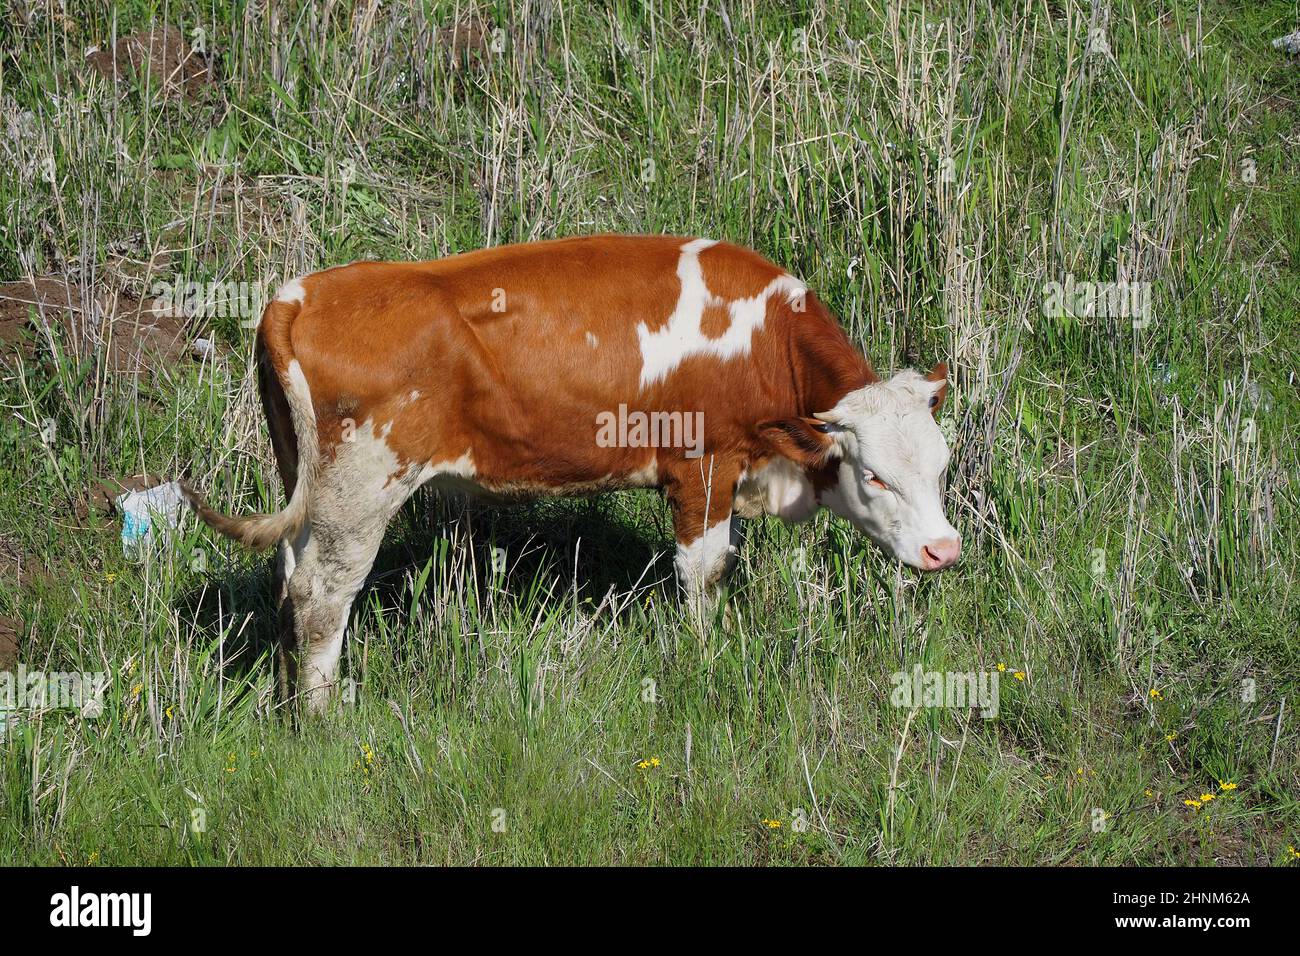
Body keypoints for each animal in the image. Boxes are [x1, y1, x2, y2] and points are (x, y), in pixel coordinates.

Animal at [183, 235, 961, 712]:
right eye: (875, 476)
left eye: (942, 467)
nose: (943, 550)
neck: (764, 337)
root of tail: (298, 294)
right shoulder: (703, 467)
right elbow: (703, 573)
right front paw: (705, 662)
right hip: (360, 490)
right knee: (322, 597)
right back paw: (321, 718)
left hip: (307, 485)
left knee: (290, 577)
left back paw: (289, 702)